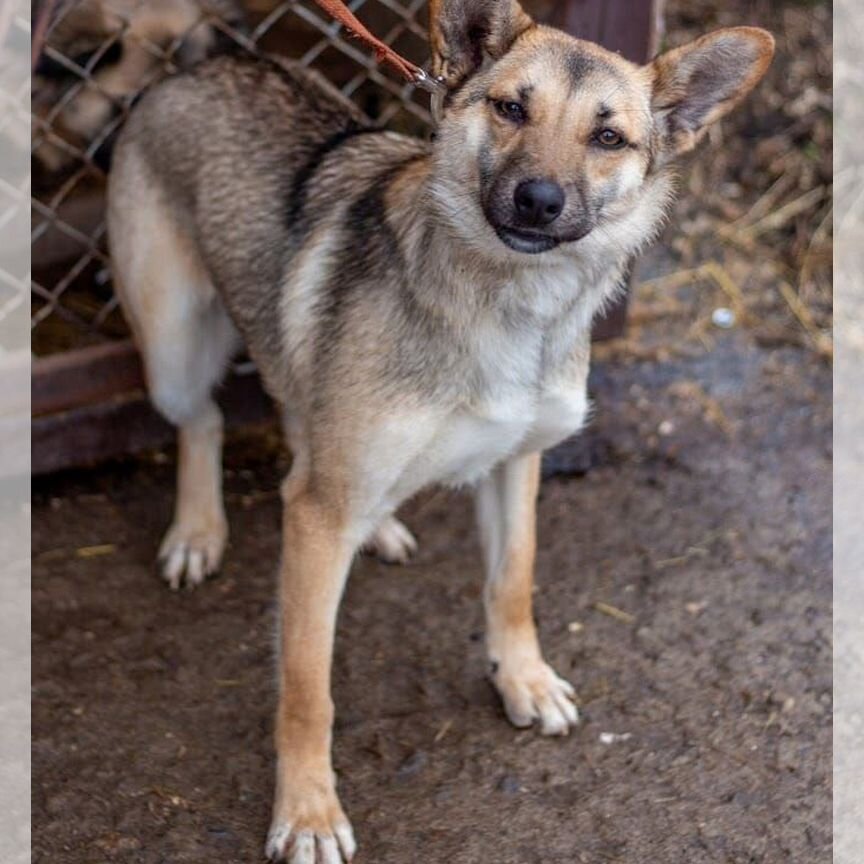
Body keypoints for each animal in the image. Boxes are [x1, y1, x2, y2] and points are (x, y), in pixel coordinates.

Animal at [104, 3, 772, 860]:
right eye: (511, 108)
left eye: (608, 137)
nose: (538, 199)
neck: (508, 304)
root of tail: (207, 65)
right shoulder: (318, 520)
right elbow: (307, 688)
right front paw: (308, 810)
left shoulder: (518, 462)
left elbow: (512, 581)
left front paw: (521, 678)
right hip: (172, 349)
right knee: (207, 421)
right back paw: (198, 530)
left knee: (294, 416)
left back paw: (378, 524)